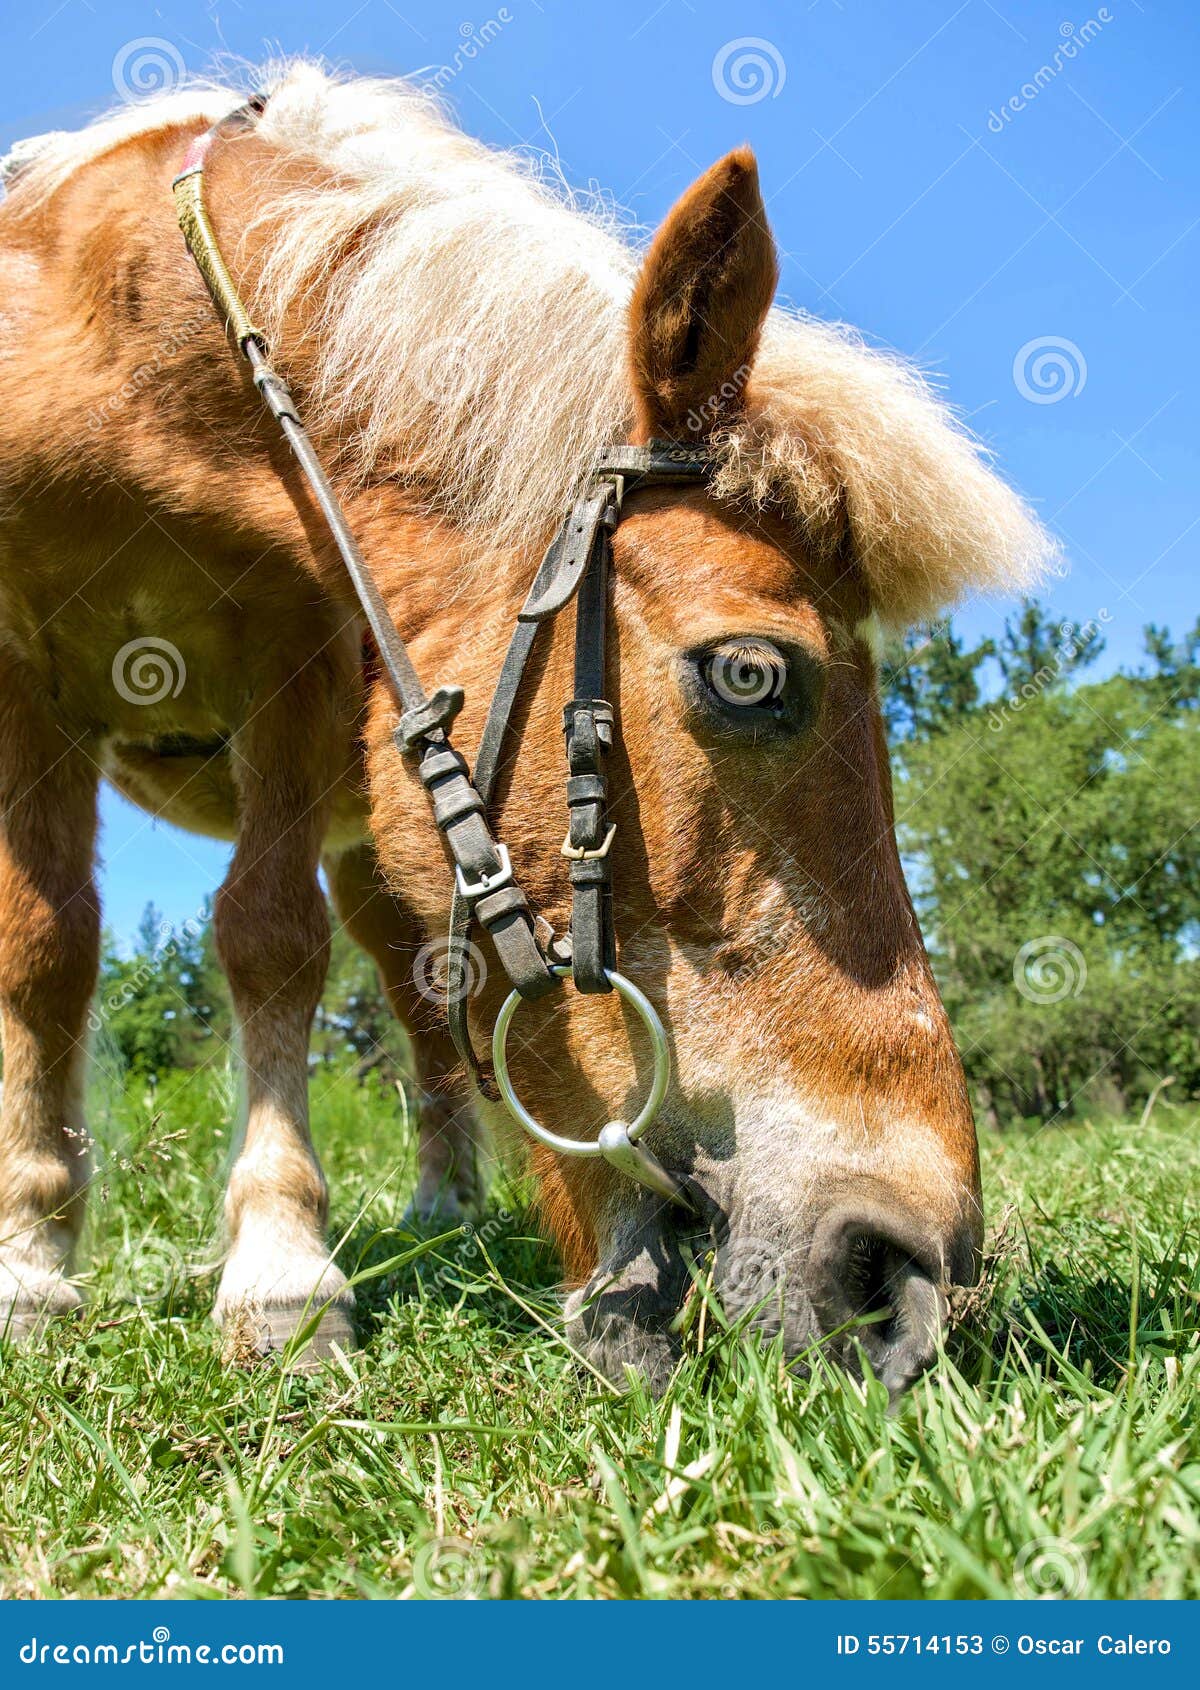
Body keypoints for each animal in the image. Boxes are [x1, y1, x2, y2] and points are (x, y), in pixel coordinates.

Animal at [0, 64, 1052, 1393]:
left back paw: (444, 1207)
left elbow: (268, 939)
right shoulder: (22, 670)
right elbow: (45, 951)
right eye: (751, 675)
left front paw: (279, 1268)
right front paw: (37, 1263)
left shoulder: (294, 656)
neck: (135, 343)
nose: (914, 1277)